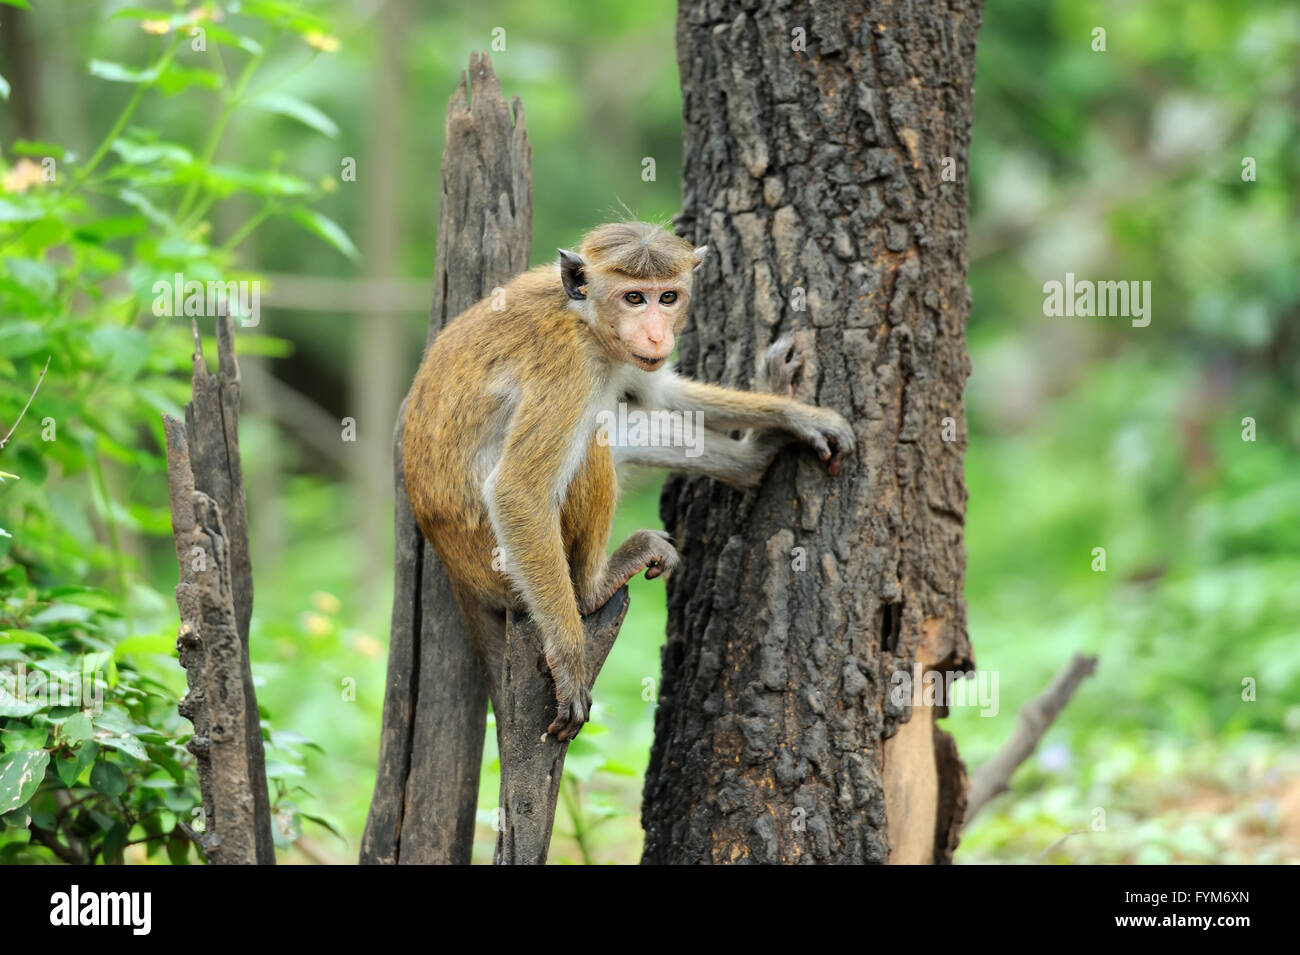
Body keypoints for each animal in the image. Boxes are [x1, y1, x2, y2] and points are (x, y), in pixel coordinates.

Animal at [403, 221, 854, 741]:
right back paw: (594, 587)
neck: (584, 318)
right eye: (634, 298)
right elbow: (519, 491)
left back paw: (750, 460)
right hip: (498, 567)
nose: (657, 335)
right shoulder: (571, 366)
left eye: (668, 297)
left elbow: (660, 394)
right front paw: (570, 663)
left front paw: (793, 413)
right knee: (590, 445)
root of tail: (456, 570)